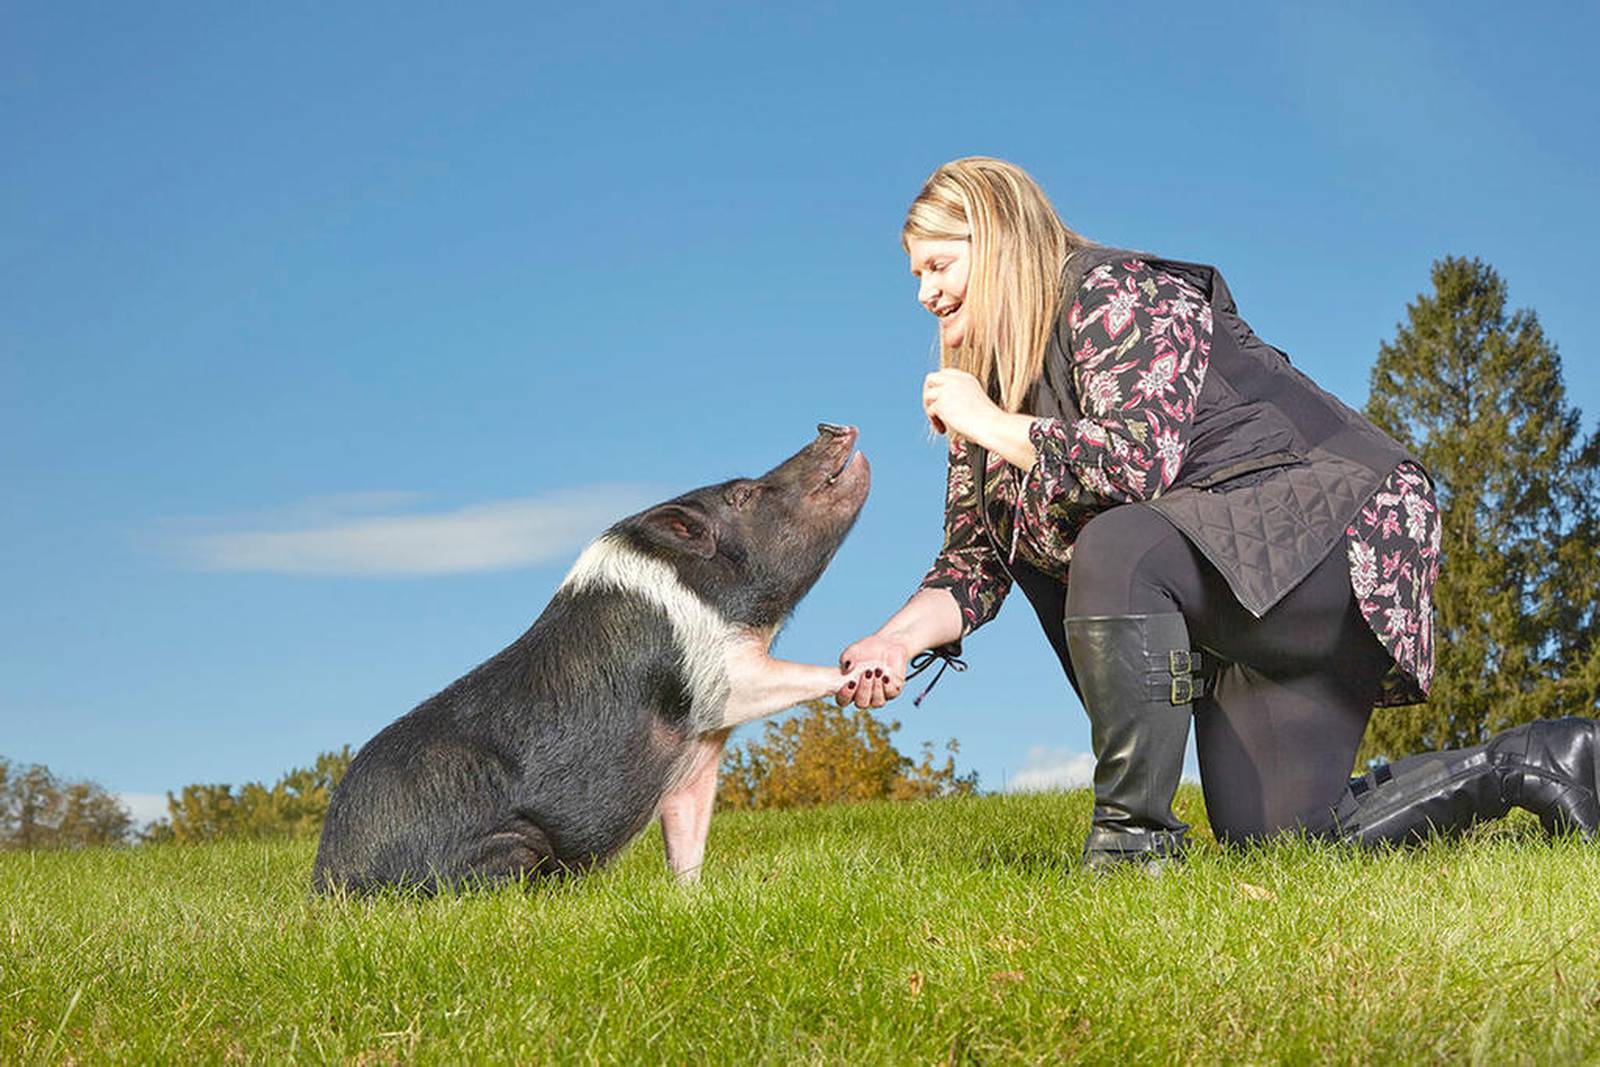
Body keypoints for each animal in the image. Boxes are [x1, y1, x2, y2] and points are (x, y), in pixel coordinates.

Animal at [311, 423, 869, 893]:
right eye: (744, 494)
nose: (830, 427)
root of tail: (329, 884)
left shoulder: (698, 753)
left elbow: (686, 833)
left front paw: (690, 894)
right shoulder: (713, 672)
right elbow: (768, 677)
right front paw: (861, 675)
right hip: (512, 849)